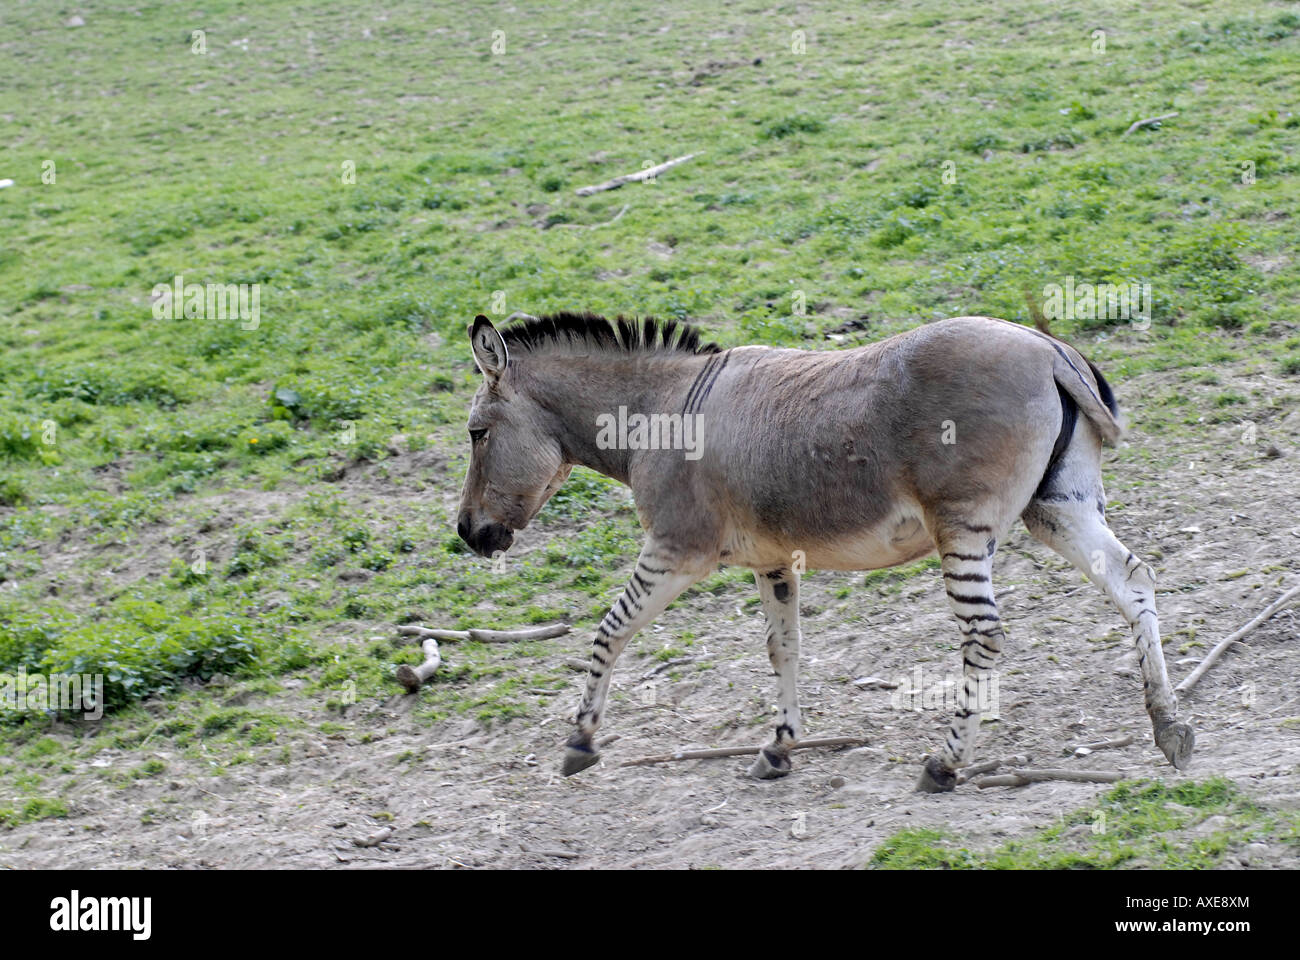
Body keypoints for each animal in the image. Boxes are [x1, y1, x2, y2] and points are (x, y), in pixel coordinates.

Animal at [455, 311, 1194, 791]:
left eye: (476, 433)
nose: (467, 534)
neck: (662, 412)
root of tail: (1046, 348)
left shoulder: (676, 549)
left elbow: (610, 630)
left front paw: (579, 742)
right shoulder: (773, 560)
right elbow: (784, 648)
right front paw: (778, 750)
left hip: (963, 529)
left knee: (984, 636)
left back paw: (944, 765)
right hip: (1058, 506)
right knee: (1135, 580)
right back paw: (1170, 728)